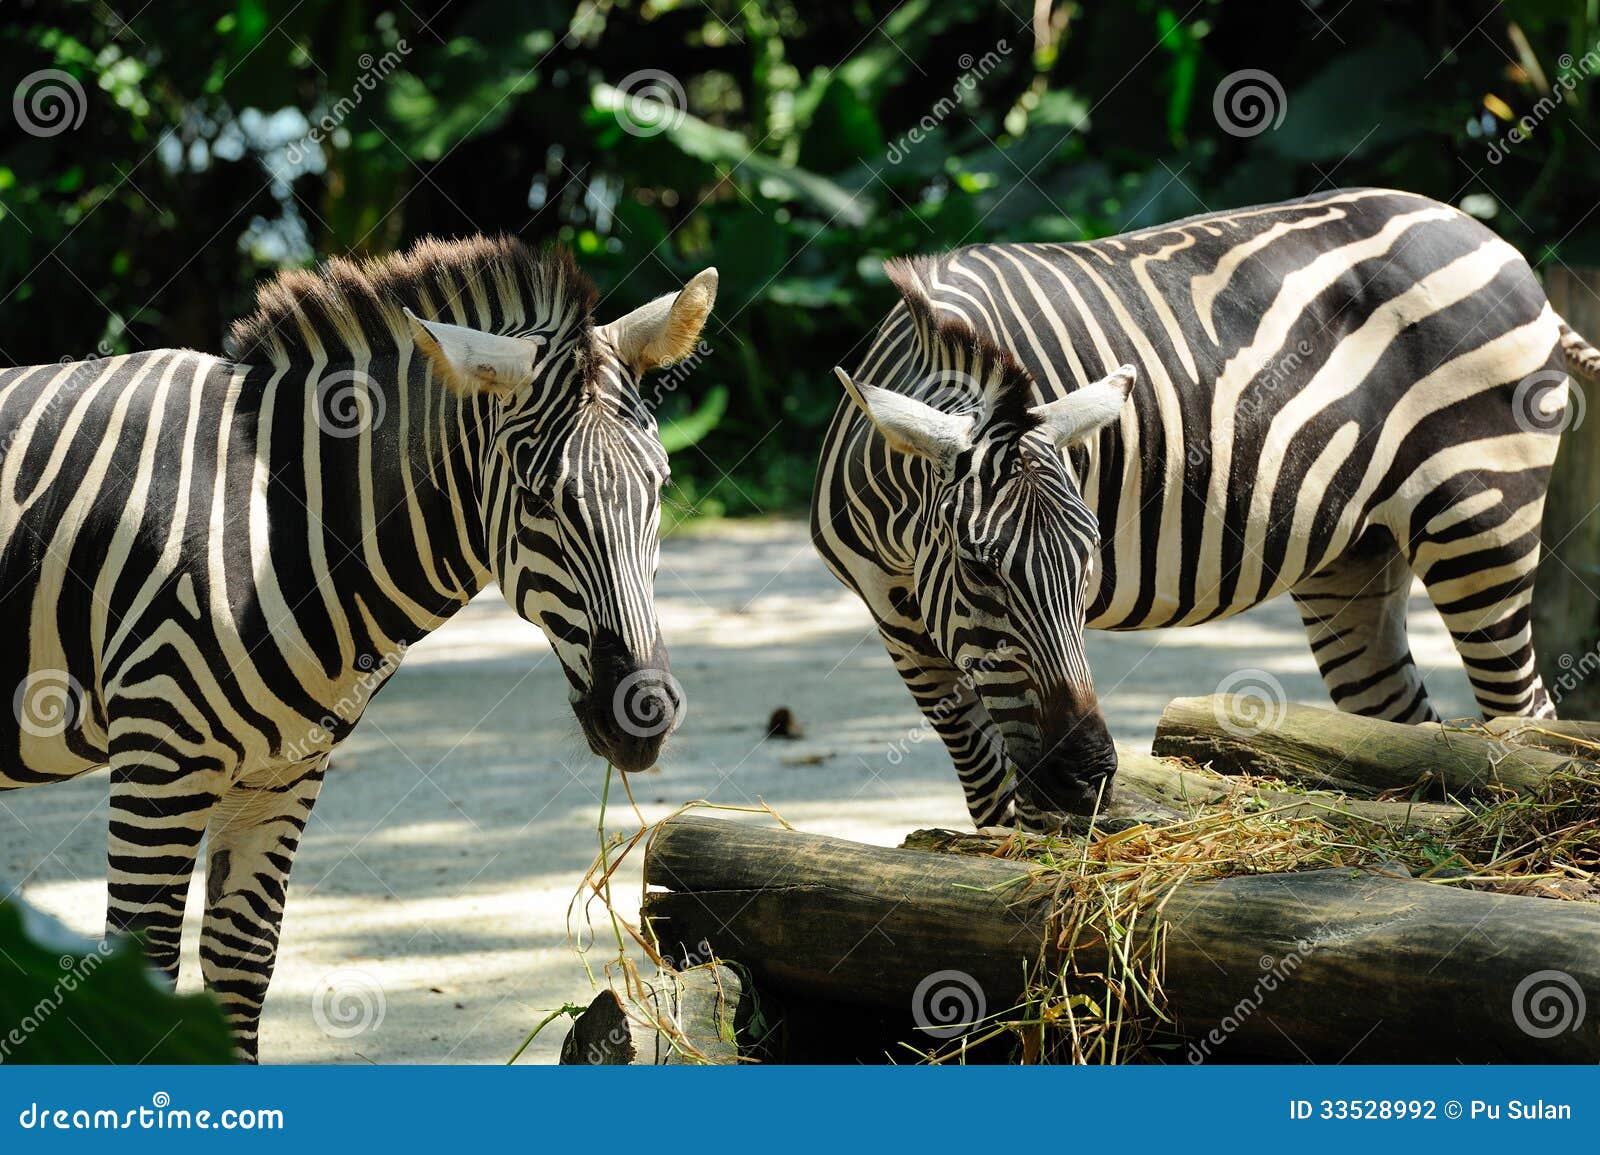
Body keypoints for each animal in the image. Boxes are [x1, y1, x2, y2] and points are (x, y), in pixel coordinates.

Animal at [0, 236, 716, 1059]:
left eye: (660, 486)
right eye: (539, 500)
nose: (644, 712)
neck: (279, 518)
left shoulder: (282, 770)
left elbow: (241, 964)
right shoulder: (160, 756)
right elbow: (141, 972)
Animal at [813, 187, 1600, 830]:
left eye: (1089, 559)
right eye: (978, 568)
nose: (1088, 776)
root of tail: (1494, 242)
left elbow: (1026, 816)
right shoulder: (898, 628)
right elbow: (989, 795)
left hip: (1483, 515)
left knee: (1526, 717)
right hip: (1357, 555)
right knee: (1404, 728)